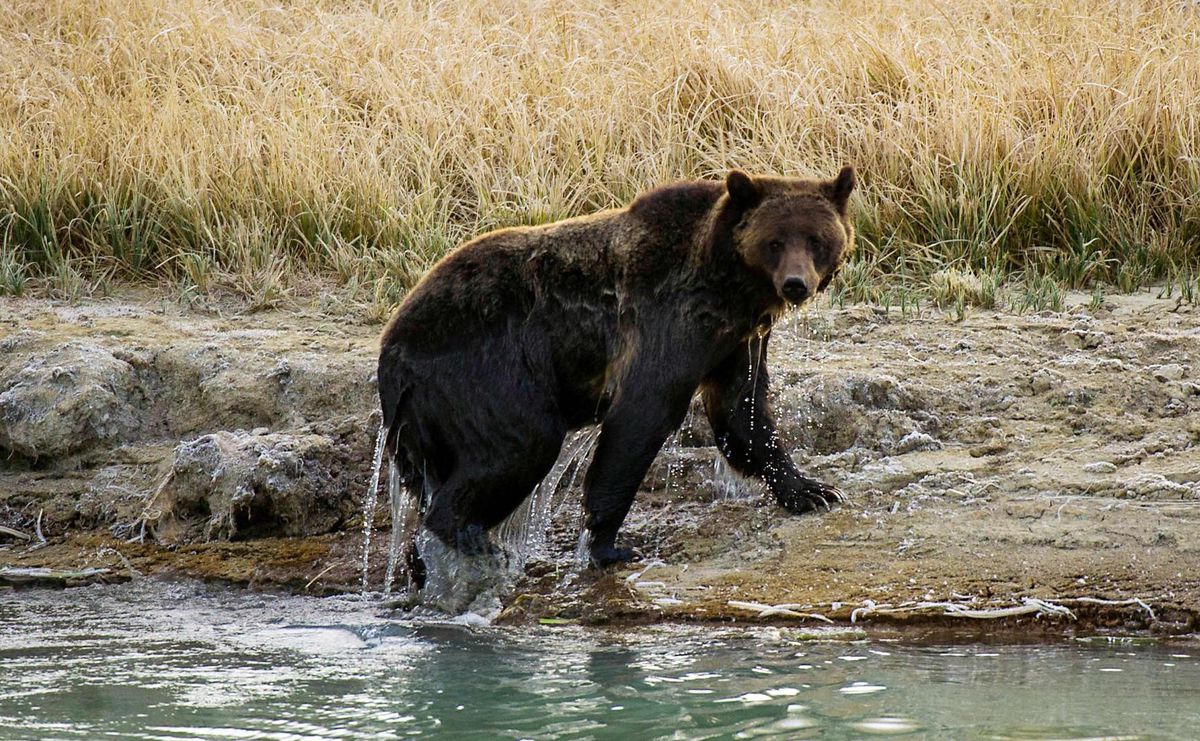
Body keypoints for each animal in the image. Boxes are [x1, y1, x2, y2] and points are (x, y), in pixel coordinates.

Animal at [378, 166, 857, 568]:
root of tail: (391, 349)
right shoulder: (665, 321)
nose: (796, 284)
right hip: (484, 370)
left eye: (815, 239)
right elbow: (642, 415)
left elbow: (744, 412)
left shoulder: (735, 342)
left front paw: (812, 489)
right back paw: (473, 543)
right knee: (521, 443)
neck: (728, 290)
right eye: (775, 241)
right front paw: (608, 543)